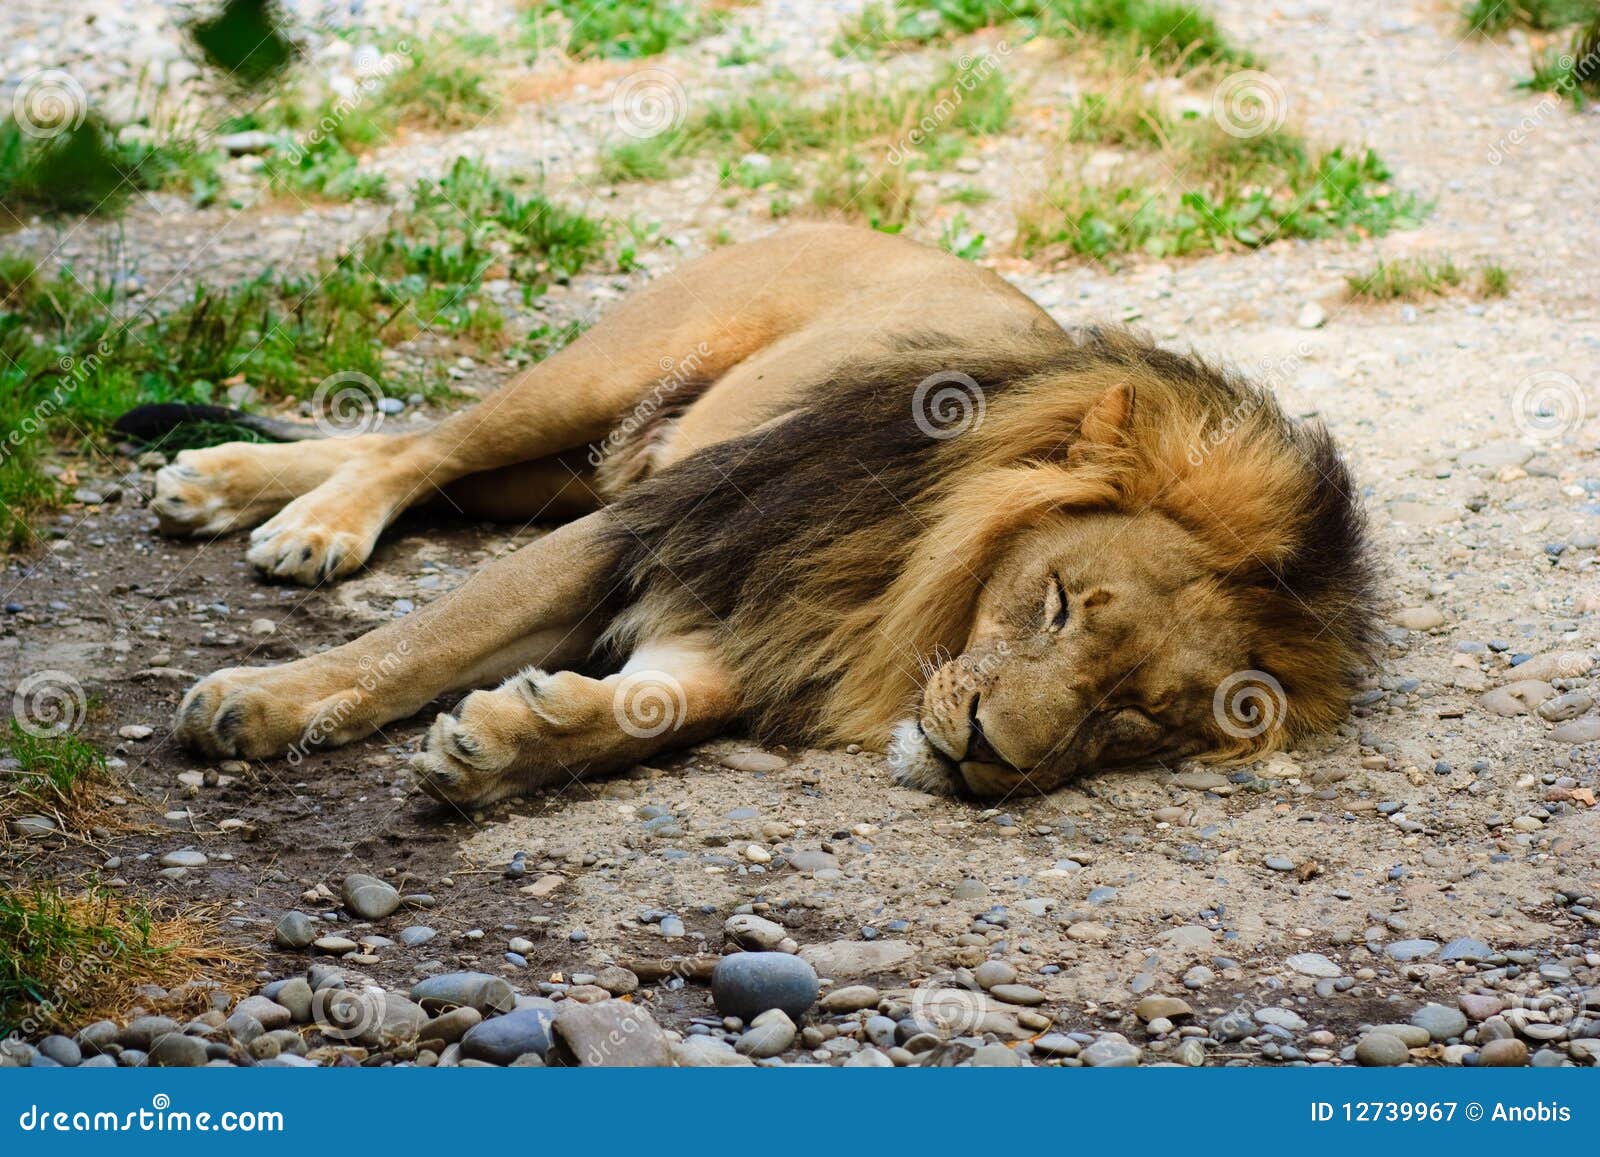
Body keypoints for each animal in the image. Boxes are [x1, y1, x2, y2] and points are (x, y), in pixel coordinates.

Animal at [139, 224, 1378, 805]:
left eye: (1135, 717)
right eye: (1059, 601)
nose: (986, 752)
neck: (903, 589)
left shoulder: (764, 628)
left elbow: (651, 708)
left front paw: (509, 740)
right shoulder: (653, 526)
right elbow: (420, 640)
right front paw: (258, 701)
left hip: (578, 461)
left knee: (413, 454)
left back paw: (225, 480)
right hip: (600, 379)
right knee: (421, 443)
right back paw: (304, 522)